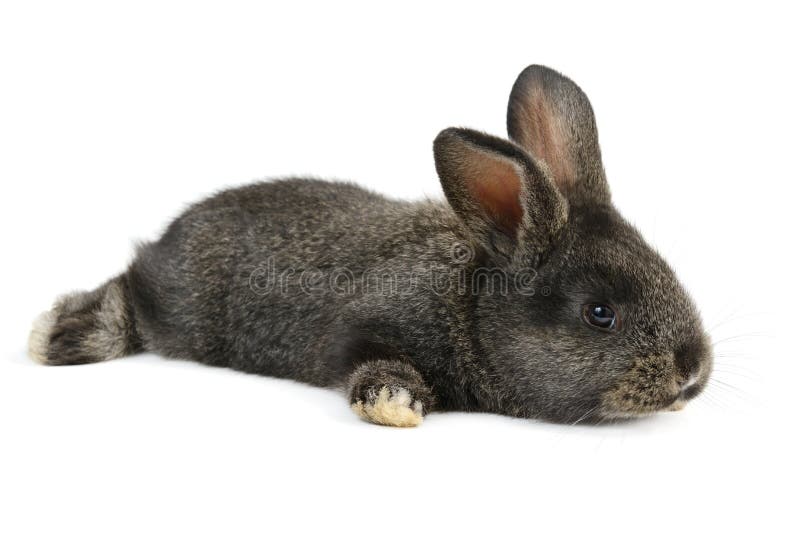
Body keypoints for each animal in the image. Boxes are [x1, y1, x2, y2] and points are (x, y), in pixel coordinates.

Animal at [27, 65, 712, 427]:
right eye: (600, 314)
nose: (694, 371)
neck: (470, 310)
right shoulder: (366, 330)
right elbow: (371, 365)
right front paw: (395, 405)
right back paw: (55, 335)